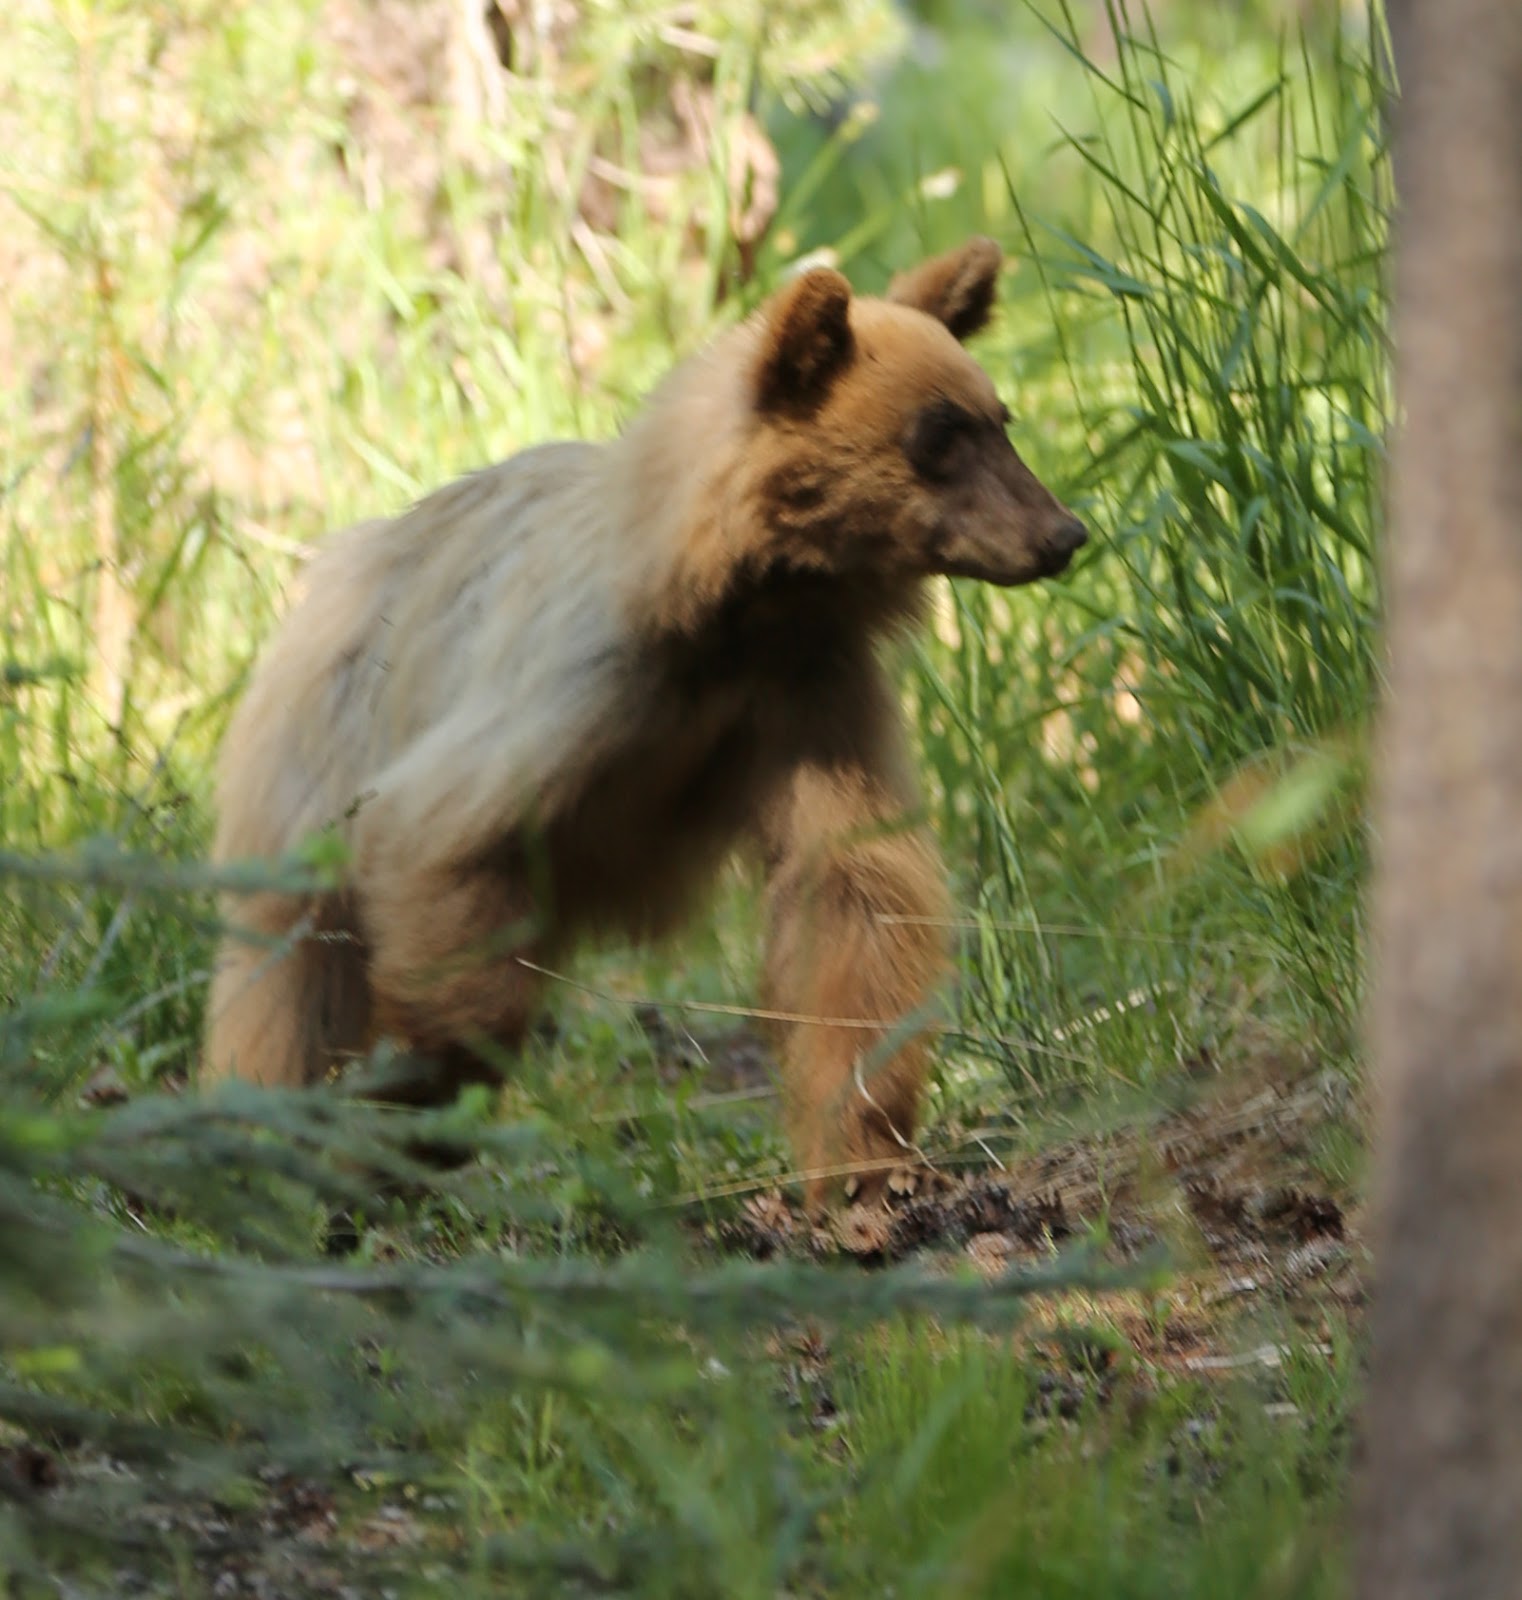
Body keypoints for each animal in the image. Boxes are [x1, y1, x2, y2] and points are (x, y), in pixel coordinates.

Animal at [203, 236, 1087, 1213]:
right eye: (938, 436)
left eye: (1000, 418)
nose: (1063, 534)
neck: (744, 609)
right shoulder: (577, 679)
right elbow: (439, 836)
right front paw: (416, 1092)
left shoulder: (812, 693)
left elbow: (855, 895)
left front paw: (862, 1154)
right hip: (309, 765)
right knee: (281, 980)